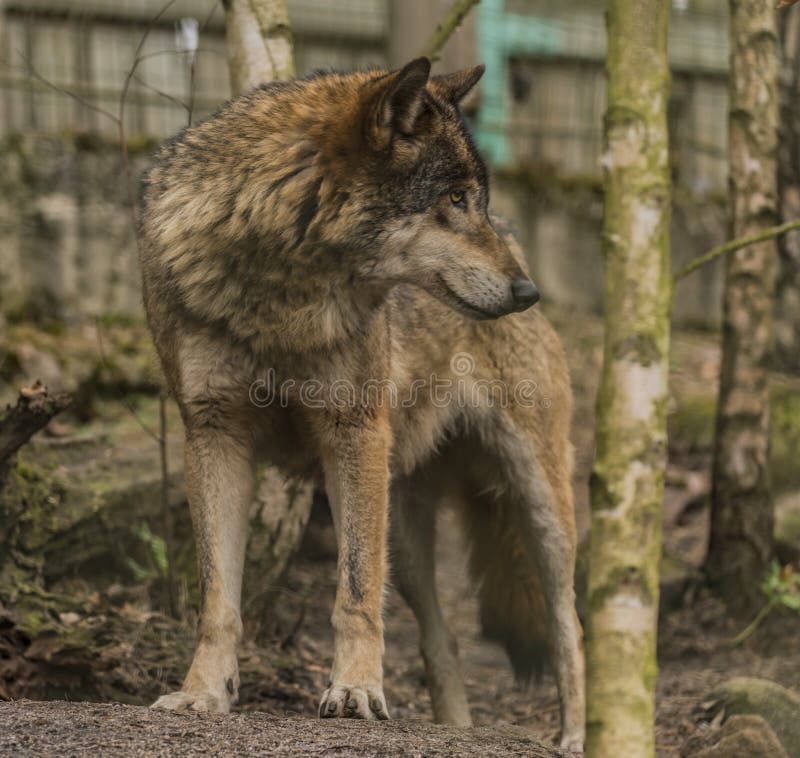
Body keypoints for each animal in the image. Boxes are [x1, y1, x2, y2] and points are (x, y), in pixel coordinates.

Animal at [138, 58, 584, 751]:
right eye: (455, 199)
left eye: (475, 199)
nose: (526, 291)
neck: (278, 294)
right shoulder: (213, 435)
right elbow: (218, 599)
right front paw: (201, 694)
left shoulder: (354, 431)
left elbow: (352, 592)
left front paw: (353, 692)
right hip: (403, 533)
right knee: (441, 643)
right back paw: (454, 728)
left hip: (537, 506)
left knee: (572, 627)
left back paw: (574, 738)